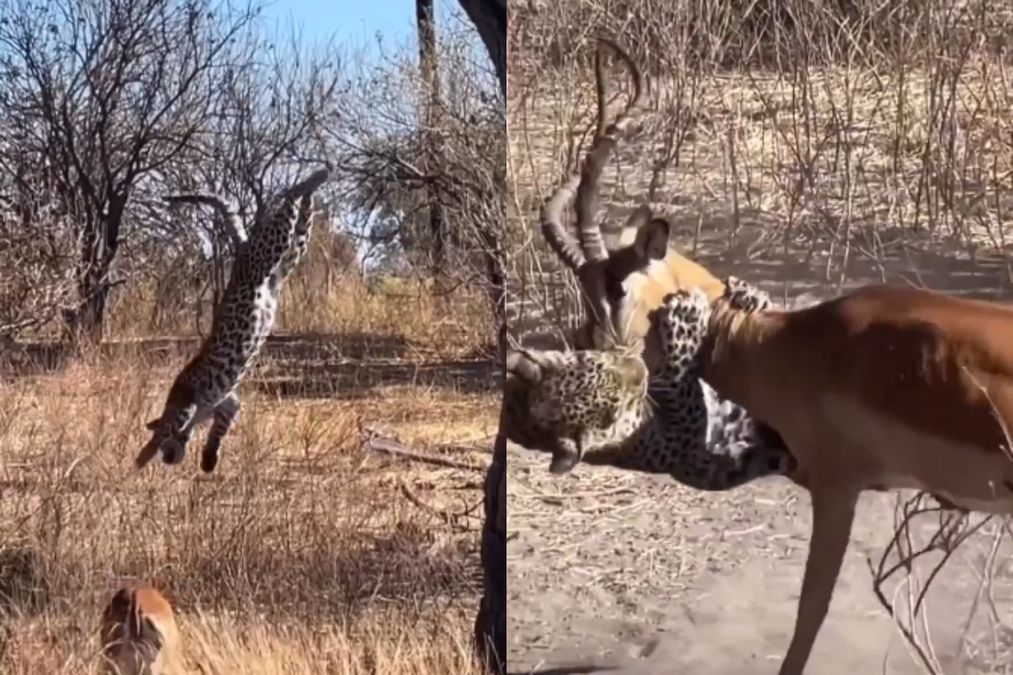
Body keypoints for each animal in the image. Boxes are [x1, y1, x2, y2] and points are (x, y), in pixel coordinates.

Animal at [135, 166, 330, 473]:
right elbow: (222, 425)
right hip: (285, 261)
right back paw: (317, 181)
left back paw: (315, 176)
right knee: (301, 229)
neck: (201, 415)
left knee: (287, 202)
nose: (167, 461)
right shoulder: (228, 401)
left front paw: (143, 457)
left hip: (265, 251)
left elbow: (166, 428)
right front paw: (208, 459)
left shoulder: (184, 402)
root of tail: (239, 251)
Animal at [504, 276, 797, 490]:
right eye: (613, 413)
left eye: (597, 360)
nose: (640, 370)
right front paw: (686, 314)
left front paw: (749, 293)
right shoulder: (684, 439)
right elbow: (680, 379)